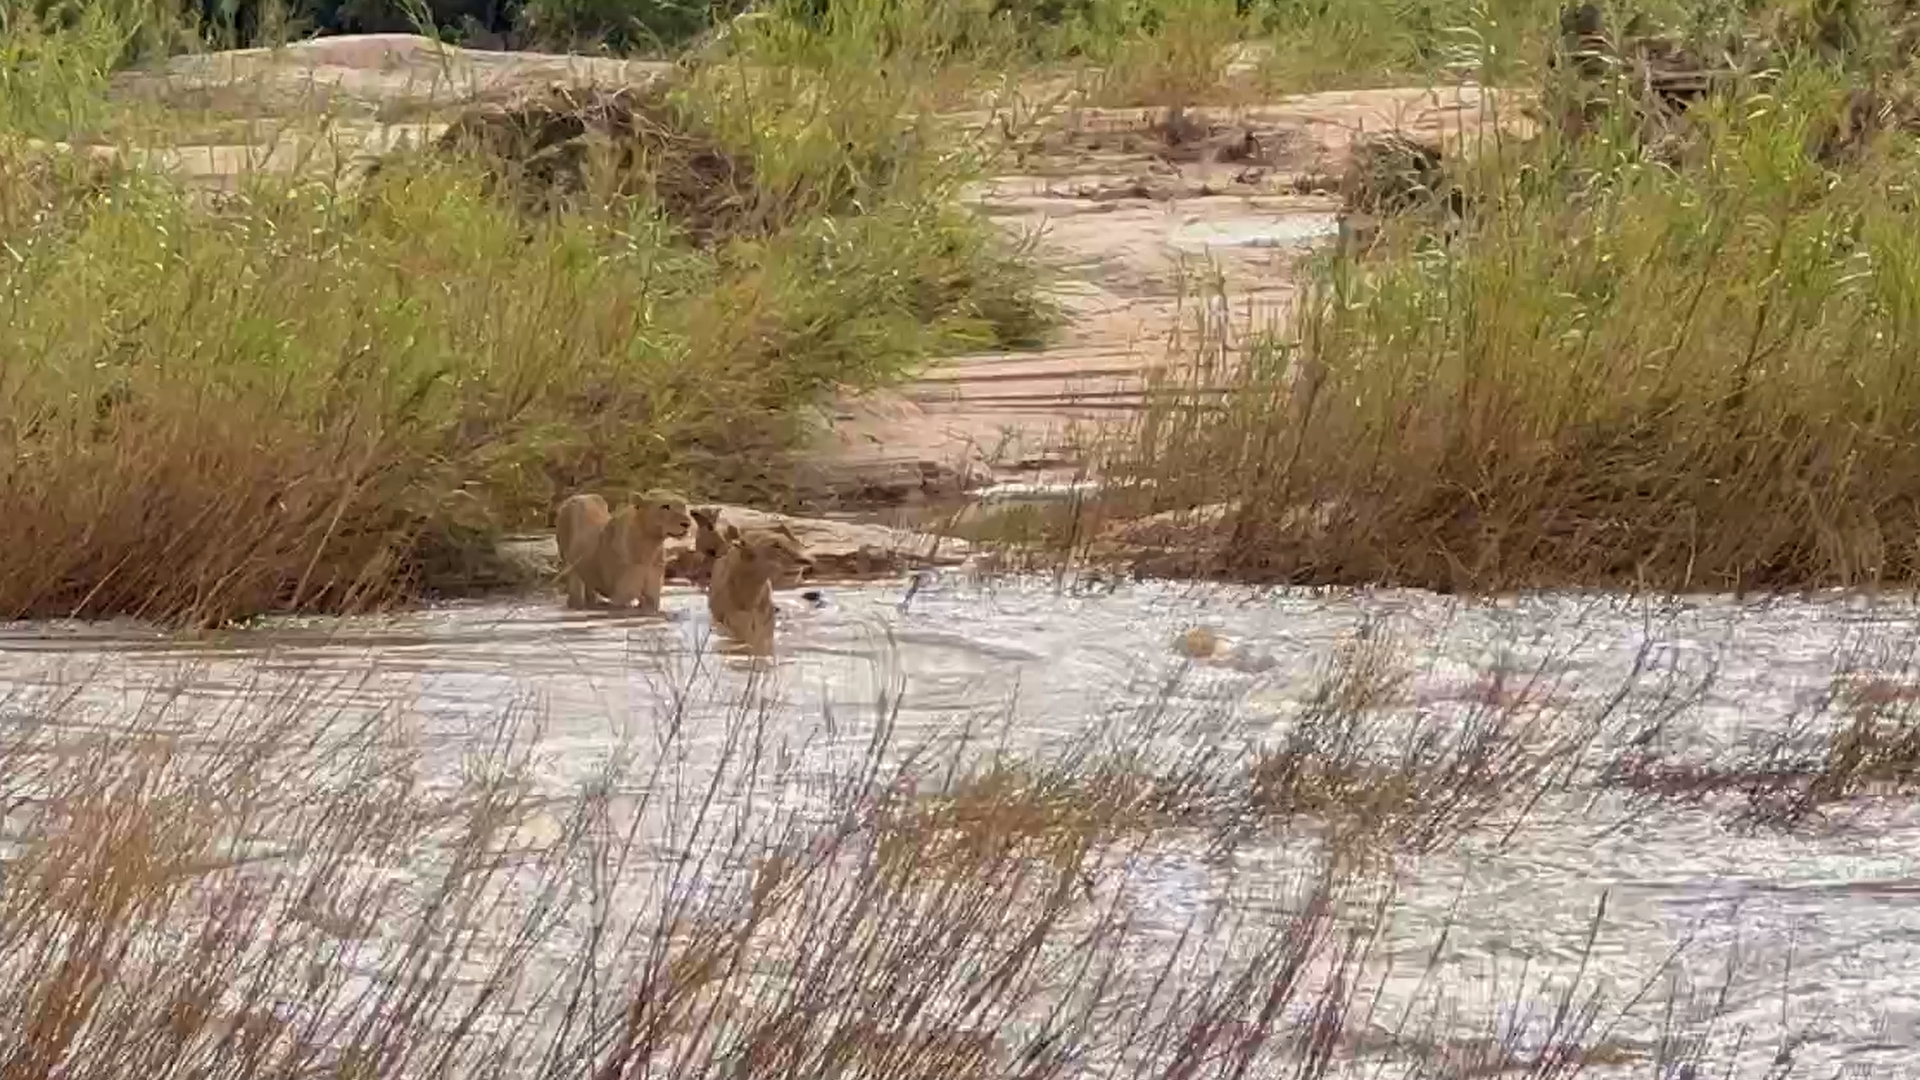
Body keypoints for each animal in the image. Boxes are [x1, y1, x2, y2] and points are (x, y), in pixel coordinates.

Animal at [554, 488, 694, 612]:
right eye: (665, 506)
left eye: (683, 506)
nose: (687, 523)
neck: (651, 547)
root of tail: (577, 497)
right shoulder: (621, 596)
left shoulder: (652, 596)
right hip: (570, 564)